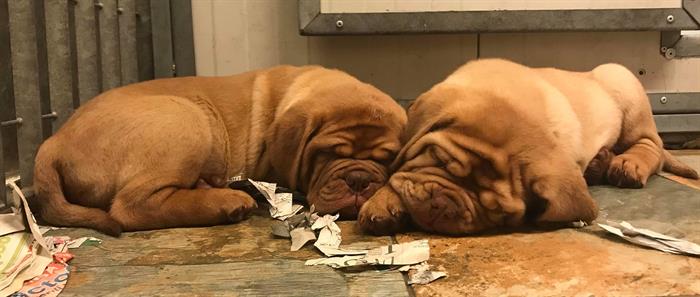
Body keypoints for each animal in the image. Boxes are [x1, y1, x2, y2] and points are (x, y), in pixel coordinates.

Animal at [32, 65, 404, 236]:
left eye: (386, 160)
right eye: (326, 155)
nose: (358, 180)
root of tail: (52, 143)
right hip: (188, 118)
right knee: (131, 206)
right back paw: (228, 201)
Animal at [358, 57, 696, 234]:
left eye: (495, 210)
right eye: (438, 160)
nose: (440, 206)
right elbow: (401, 174)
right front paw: (382, 201)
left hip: (625, 86)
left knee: (652, 146)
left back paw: (627, 164)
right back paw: (600, 162)